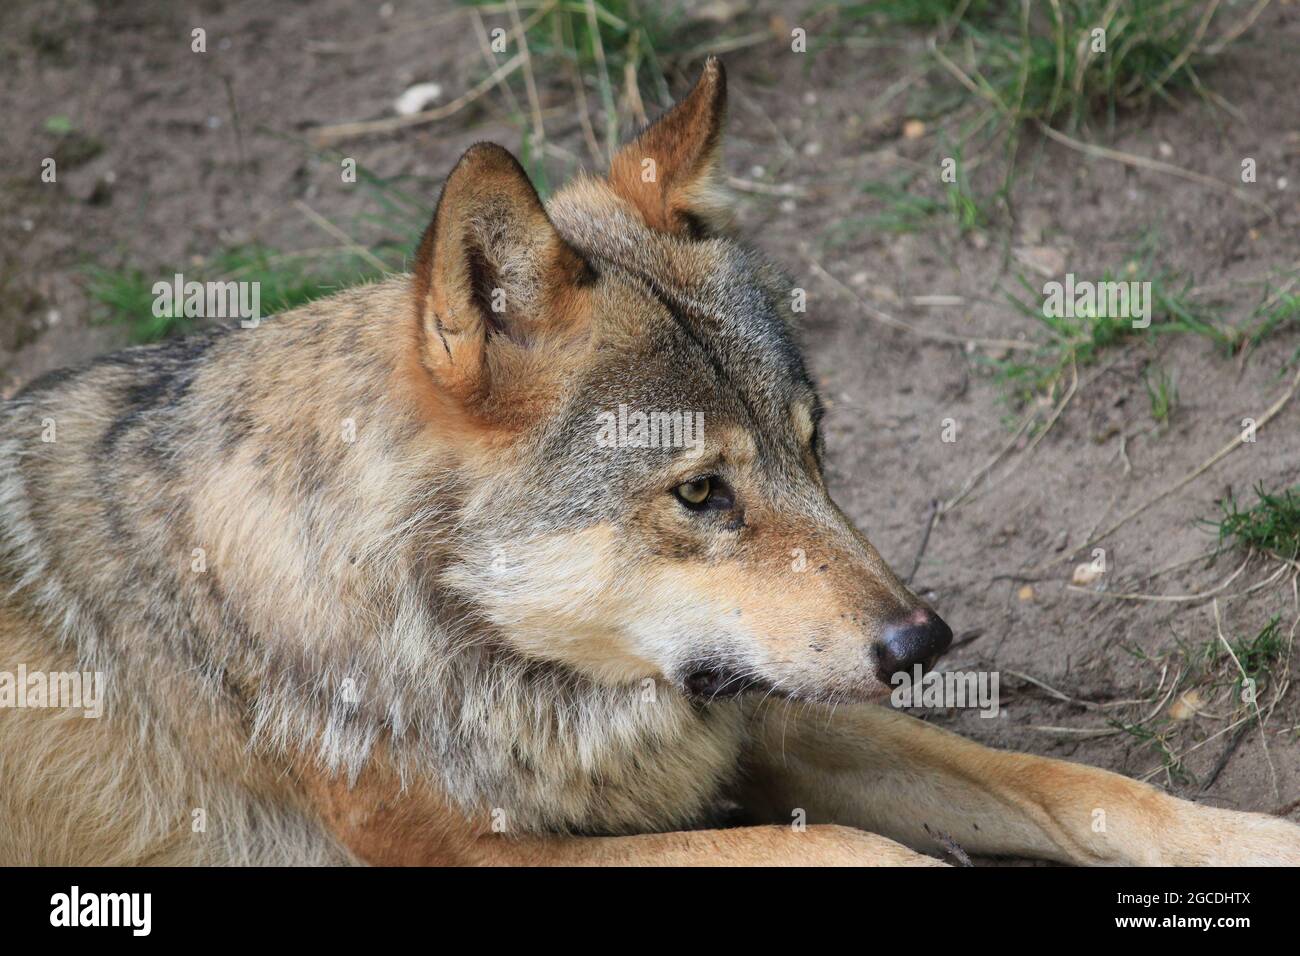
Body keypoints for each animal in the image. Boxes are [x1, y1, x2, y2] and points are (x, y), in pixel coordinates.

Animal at [1, 59, 1296, 865]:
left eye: (813, 442)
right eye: (700, 492)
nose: (921, 643)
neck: (461, 638)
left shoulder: (760, 713)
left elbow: (1082, 787)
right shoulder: (462, 851)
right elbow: (860, 846)